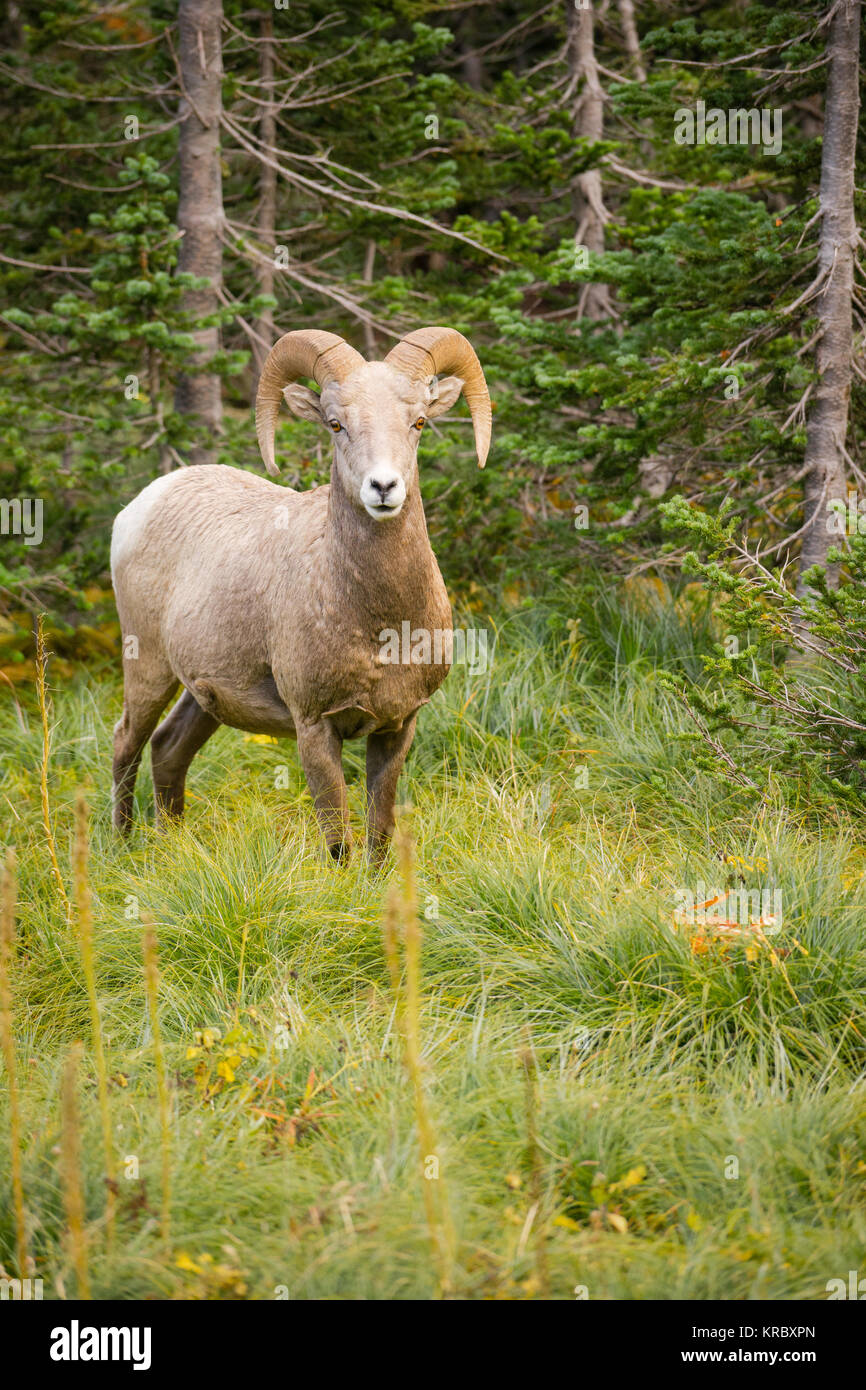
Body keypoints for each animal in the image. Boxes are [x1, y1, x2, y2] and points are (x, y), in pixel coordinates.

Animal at [110, 326, 492, 862]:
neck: (380, 628)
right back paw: (122, 847)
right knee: (126, 743)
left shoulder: (398, 727)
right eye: (335, 424)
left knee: (167, 749)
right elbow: (338, 841)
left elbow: (378, 833)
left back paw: (172, 845)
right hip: (147, 666)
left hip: (203, 695)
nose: (383, 487)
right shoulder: (314, 727)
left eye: (418, 421)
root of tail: (139, 506)